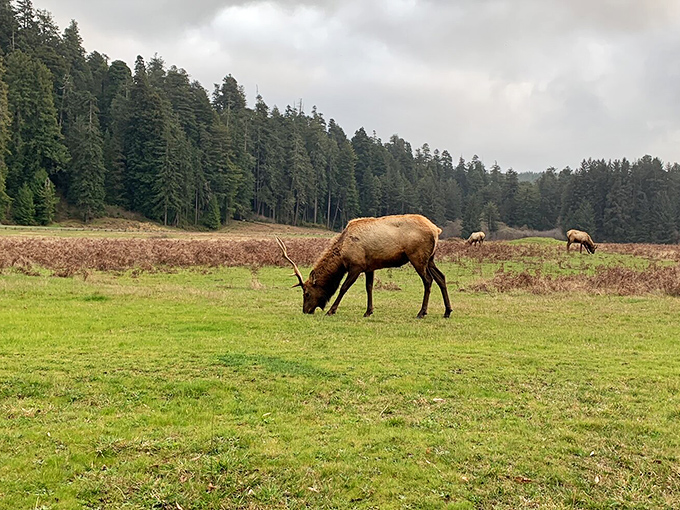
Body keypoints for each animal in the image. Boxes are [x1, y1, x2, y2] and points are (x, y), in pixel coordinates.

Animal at [276, 214, 452, 319]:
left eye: (306, 293)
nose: (305, 311)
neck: (342, 254)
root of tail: (436, 230)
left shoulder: (356, 266)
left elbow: (343, 288)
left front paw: (331, 310)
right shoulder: (370, 267)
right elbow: (369, 287)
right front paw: (368, 311)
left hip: (417, 257)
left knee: (428, 280)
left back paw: (422, 312)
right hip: (430, 259)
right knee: (441, 277)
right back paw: (447, 311)